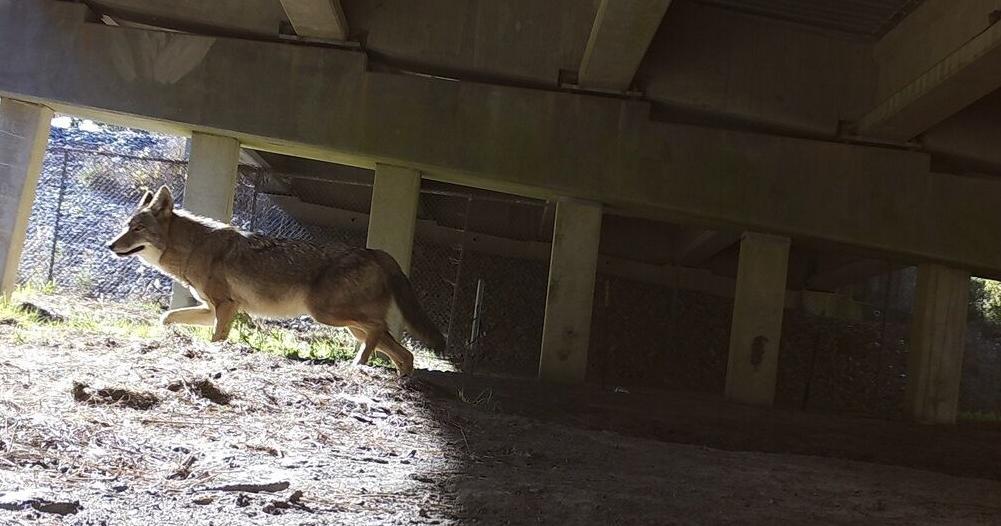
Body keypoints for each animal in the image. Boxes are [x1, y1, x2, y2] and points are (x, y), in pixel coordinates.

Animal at [106, 185, 444, 376]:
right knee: (406, 354)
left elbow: (216, 339)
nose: (110, 245)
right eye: (126, 226)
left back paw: (358, 363)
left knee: (380, 331)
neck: (194, 247)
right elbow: (167, 317)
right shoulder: (212, 308)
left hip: (328, 316)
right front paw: (163, 339)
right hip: (350, 327)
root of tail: (377, 252)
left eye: (137, 229)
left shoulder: (225, 307)